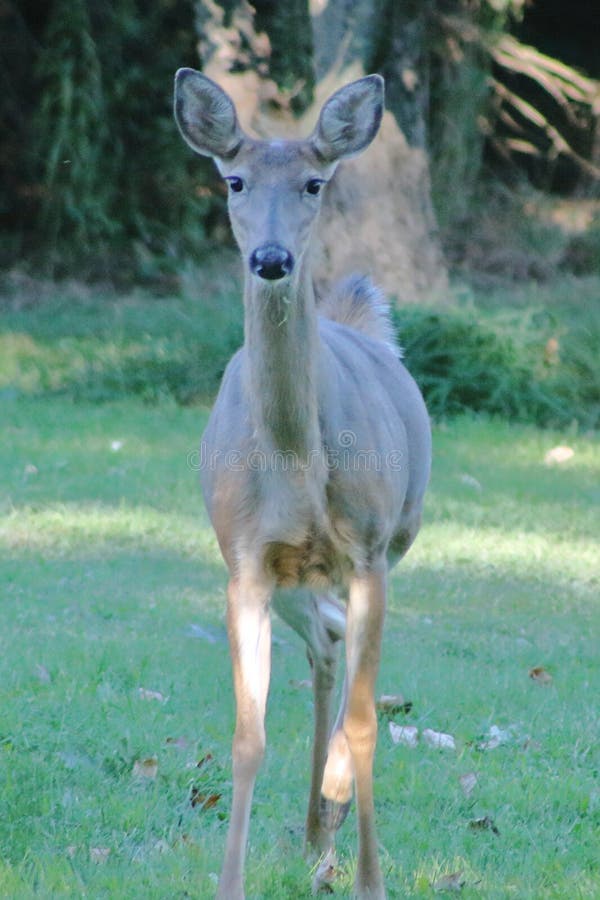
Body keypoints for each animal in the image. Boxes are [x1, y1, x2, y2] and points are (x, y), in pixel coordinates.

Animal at [173, 68, 432, 900]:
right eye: (234, 180)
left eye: (315, 182)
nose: (272, 258)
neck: (294, 462)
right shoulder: (246, 562)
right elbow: (247, 734)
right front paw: (231, 882)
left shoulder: (371, 550)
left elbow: (370, 721)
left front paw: (371, 880)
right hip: (287, 577)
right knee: (325, 644)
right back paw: (318, 826)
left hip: (391, 542)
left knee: (347, 664)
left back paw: (334, 810)